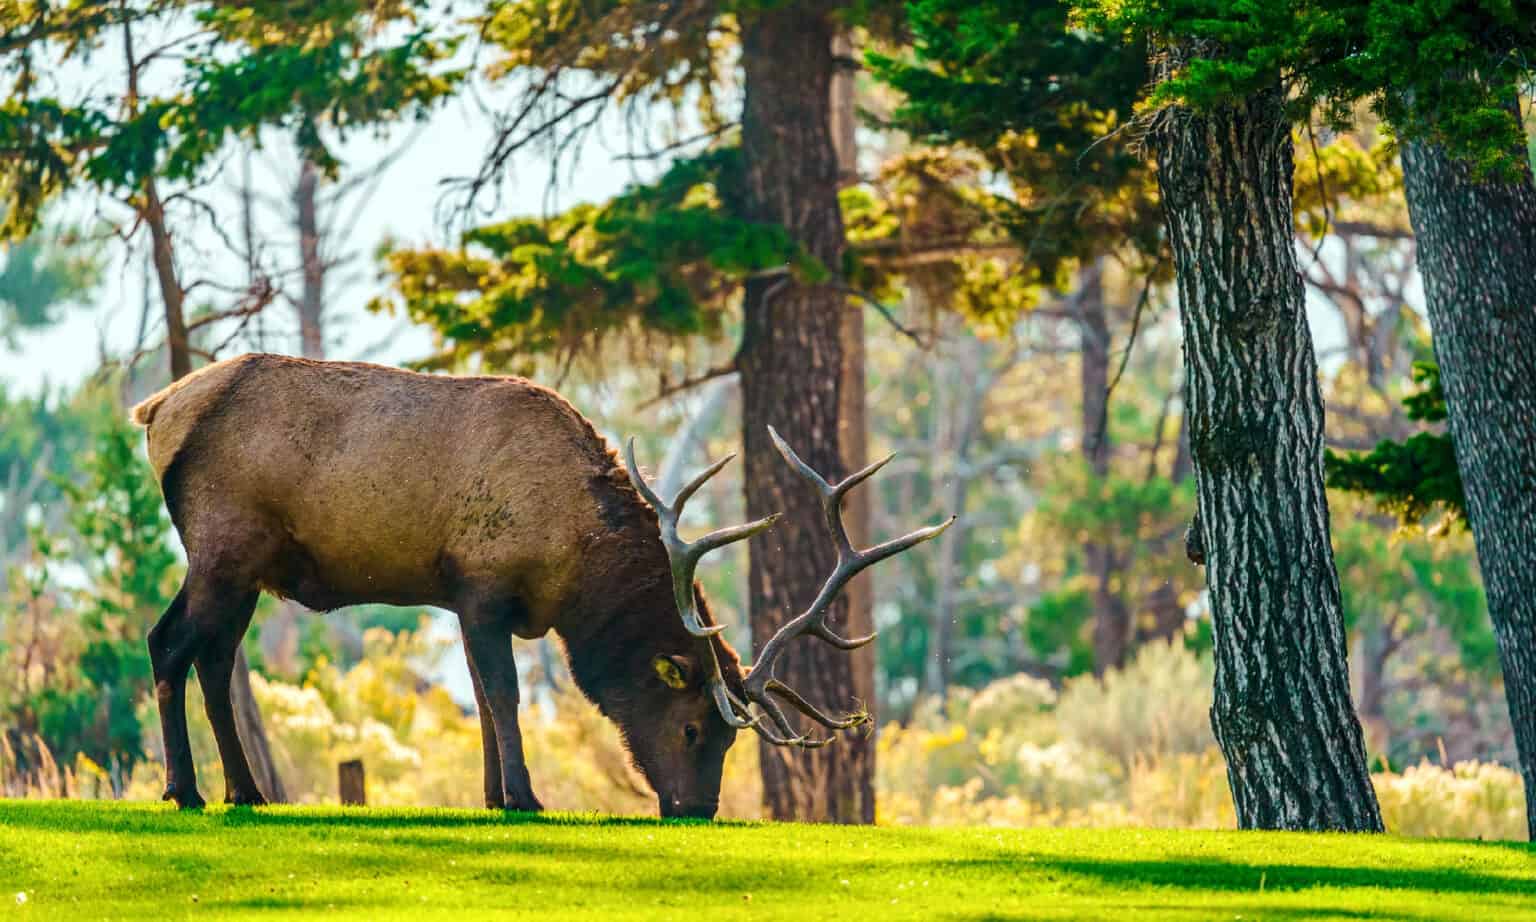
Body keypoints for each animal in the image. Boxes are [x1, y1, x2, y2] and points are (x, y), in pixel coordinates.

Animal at [131, 353, 951, 818]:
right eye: (694, 728)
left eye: (729, 737)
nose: (697, 810)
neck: (575, 558)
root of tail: (155, 410)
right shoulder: (484, 584)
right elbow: (503, 695)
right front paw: (525, 797)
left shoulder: (461, 600)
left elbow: (479, 700)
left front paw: (493, 796)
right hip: (223, 546)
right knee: (168, 643)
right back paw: (185, 789)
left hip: (243, 570)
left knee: (213, 661)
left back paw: (245, 790)